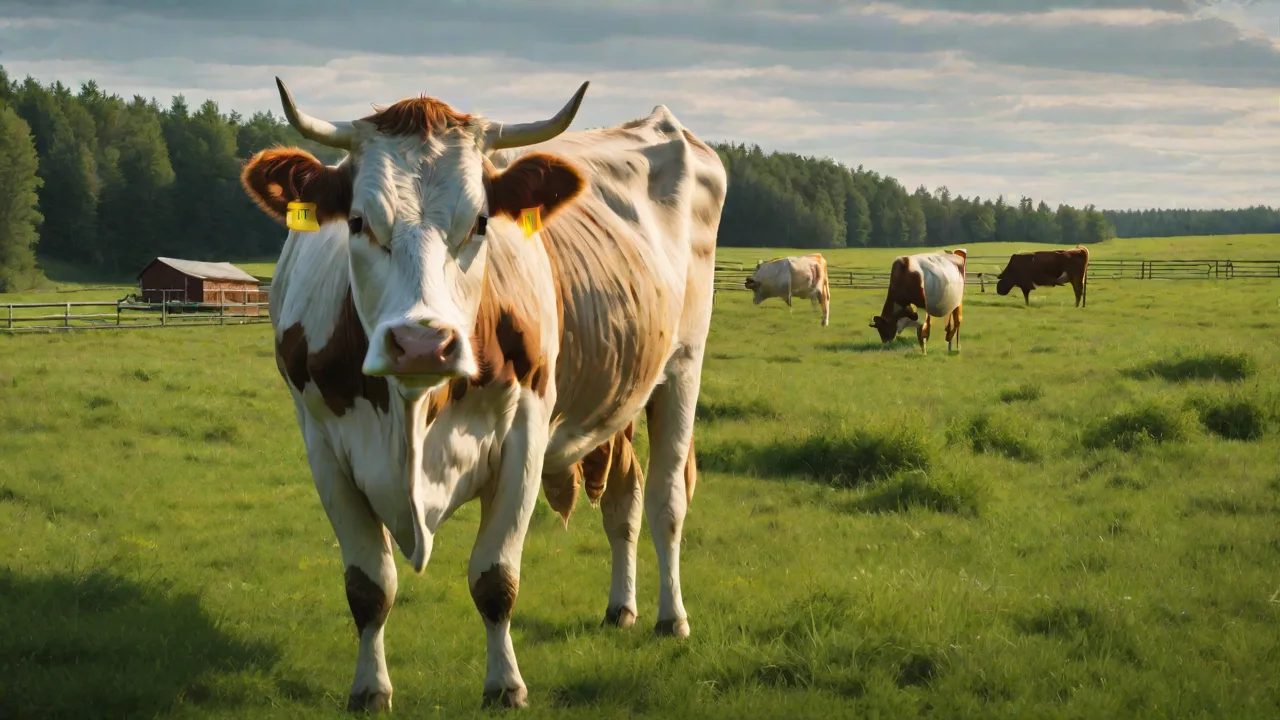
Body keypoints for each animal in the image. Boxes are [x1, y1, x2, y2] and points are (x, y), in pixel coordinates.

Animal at [238, 77, 726, 710]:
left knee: (668, 500)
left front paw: (505, 684)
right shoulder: (323, 446)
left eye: (480, 222)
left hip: (683, 365)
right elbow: (369, 585)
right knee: (626, 499)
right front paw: (370, 688)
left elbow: (495, 578)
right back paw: (621, 608)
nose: (422, 343)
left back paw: (672, 617)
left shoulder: (524, 436)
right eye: (357, 222)